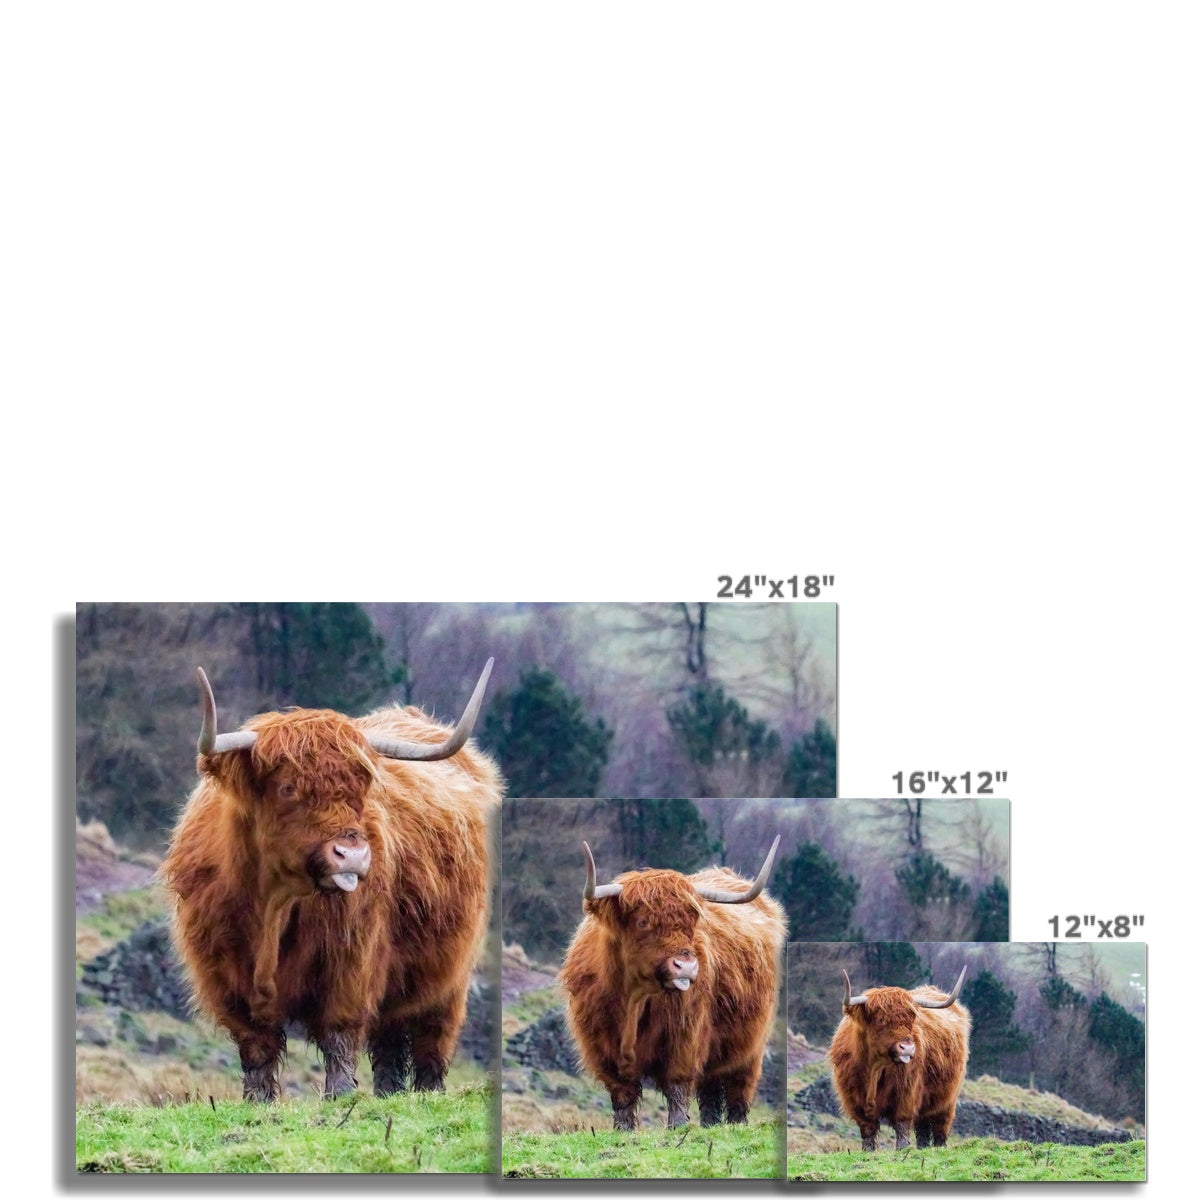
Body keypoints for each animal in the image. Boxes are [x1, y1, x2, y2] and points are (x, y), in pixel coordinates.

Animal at [160, 660, 502, 1102]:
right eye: (288, 787)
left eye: (361, 787)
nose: (352, 855)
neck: (274, 902)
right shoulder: (224, 973)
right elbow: (256, 1048)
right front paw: (259, 1100)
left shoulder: (351, 958)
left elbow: (340, 1033)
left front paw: (339, 1095)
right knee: (389, 1043)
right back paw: (388, 1094)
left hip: (449, 977)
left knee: (431, 1039)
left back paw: (427, 1093)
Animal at [559, 837, 785, 1130]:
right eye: (644, 921)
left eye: (692, 921)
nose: (686, 966)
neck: (634, 997)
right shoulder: (601, 1044)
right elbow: (622, 1094)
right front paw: (624, 1129)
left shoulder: (685, 1036)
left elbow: (677, 1085)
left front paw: (677, 1126)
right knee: (711, 1091)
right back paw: (710, 1125)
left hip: (750, 1047)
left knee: (739, 1088)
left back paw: (736, 1125)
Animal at [828, 966, 970, 1151]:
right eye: (881, 1019)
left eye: (911, 1019)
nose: (907, 1048)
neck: (875, 1067)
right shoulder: (854, 1098)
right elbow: (868, 1130)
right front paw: (868, 1151)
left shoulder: (906, 1093)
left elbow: (902, 1124)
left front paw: (902, 1150)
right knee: (923, 1128)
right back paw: (922, 1148)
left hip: (948, 1099)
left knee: (940, 1126)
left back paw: (939, 1147)